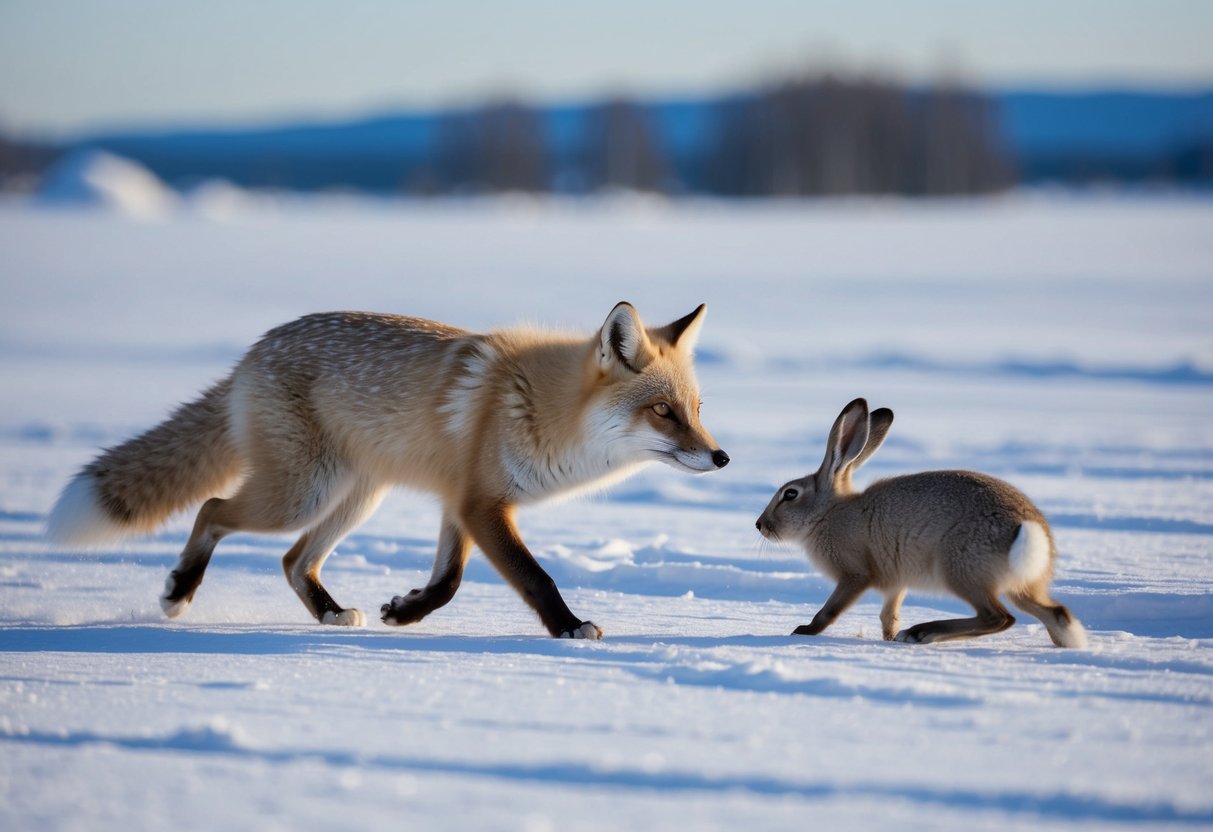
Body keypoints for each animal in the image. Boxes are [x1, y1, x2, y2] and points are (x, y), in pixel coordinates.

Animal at [46, 302, 729, 639]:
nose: (722, 458)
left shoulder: (462, 502)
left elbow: (448, 583)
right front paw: (569, 627)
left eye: (697, 410)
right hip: (302, 493)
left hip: (353, 498)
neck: (543, 410)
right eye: (662, 412)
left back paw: (328, 614)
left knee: (292, 560)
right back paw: (180, 591)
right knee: (214, 512)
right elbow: (535, 578)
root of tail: (254, 350)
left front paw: (403, 613)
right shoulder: (482, 504)